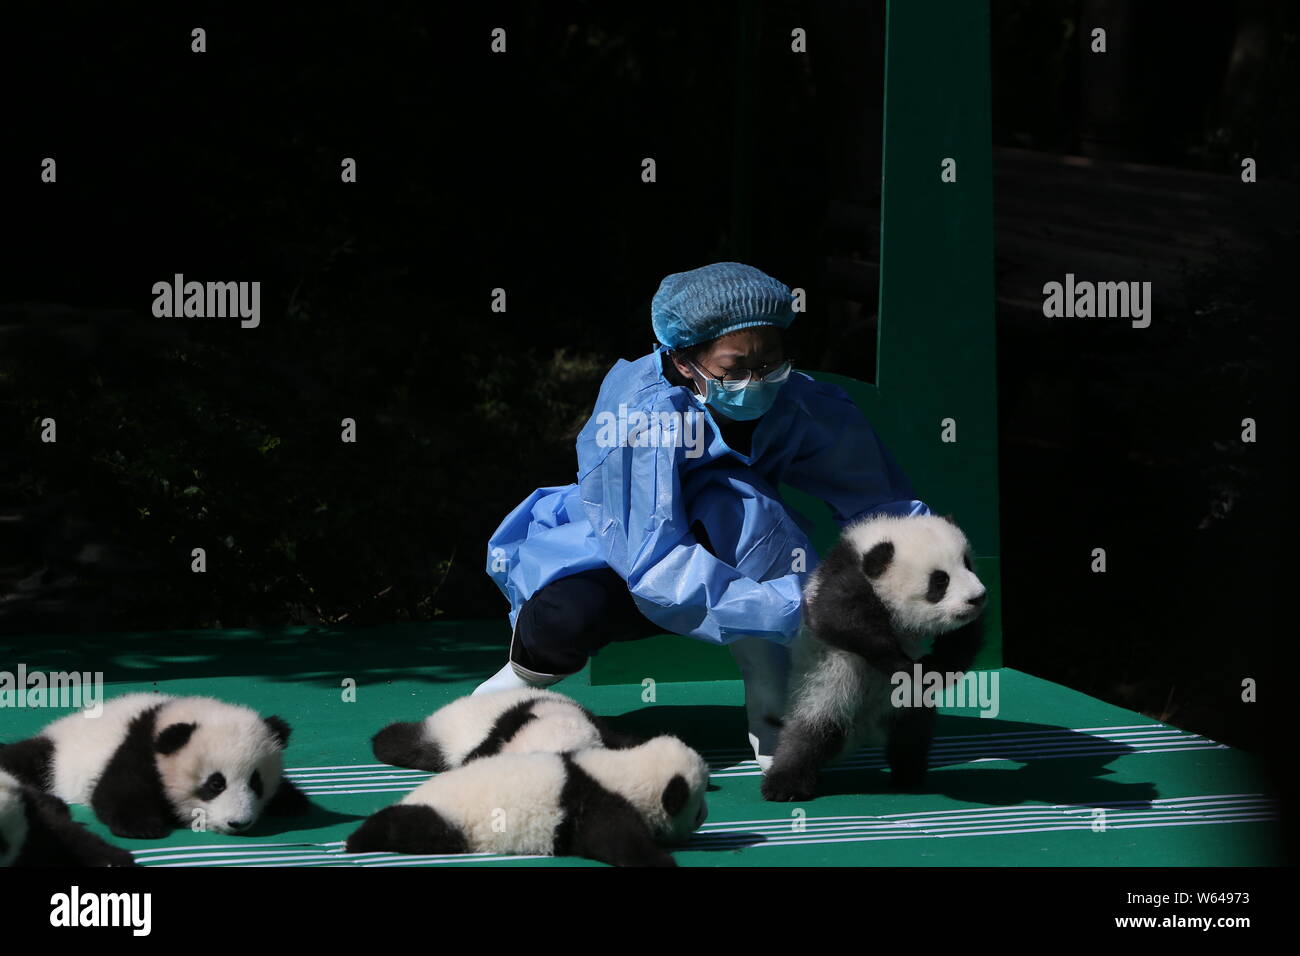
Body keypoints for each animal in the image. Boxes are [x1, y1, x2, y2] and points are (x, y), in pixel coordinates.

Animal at [0, 693, 310, 839]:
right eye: (215, 783)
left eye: (256, 782)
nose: (239, 823)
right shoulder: (137, 751)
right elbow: (116, 793)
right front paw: (144, 827)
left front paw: (292, 800)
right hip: (55, 758)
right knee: (26, 761)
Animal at [346, 735, 711, 867]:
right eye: (696, 810)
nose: (706, 815)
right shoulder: (594, 803)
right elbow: (618, 840)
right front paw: (660, 860)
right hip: (450, 818)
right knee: (411, 827)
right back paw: (359, 840)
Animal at [761, 512, 987, 803]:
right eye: (940, 580)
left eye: (967, 563)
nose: (977, 598)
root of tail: (863, 729)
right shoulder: (844, 578)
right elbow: (837, 619)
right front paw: (904, 666)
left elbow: (963, 638)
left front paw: (931, 670)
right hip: (824, 689)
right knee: (808, 736)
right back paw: (784, 784)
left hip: (903, 706)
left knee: (910, 735)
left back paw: (908, 774)